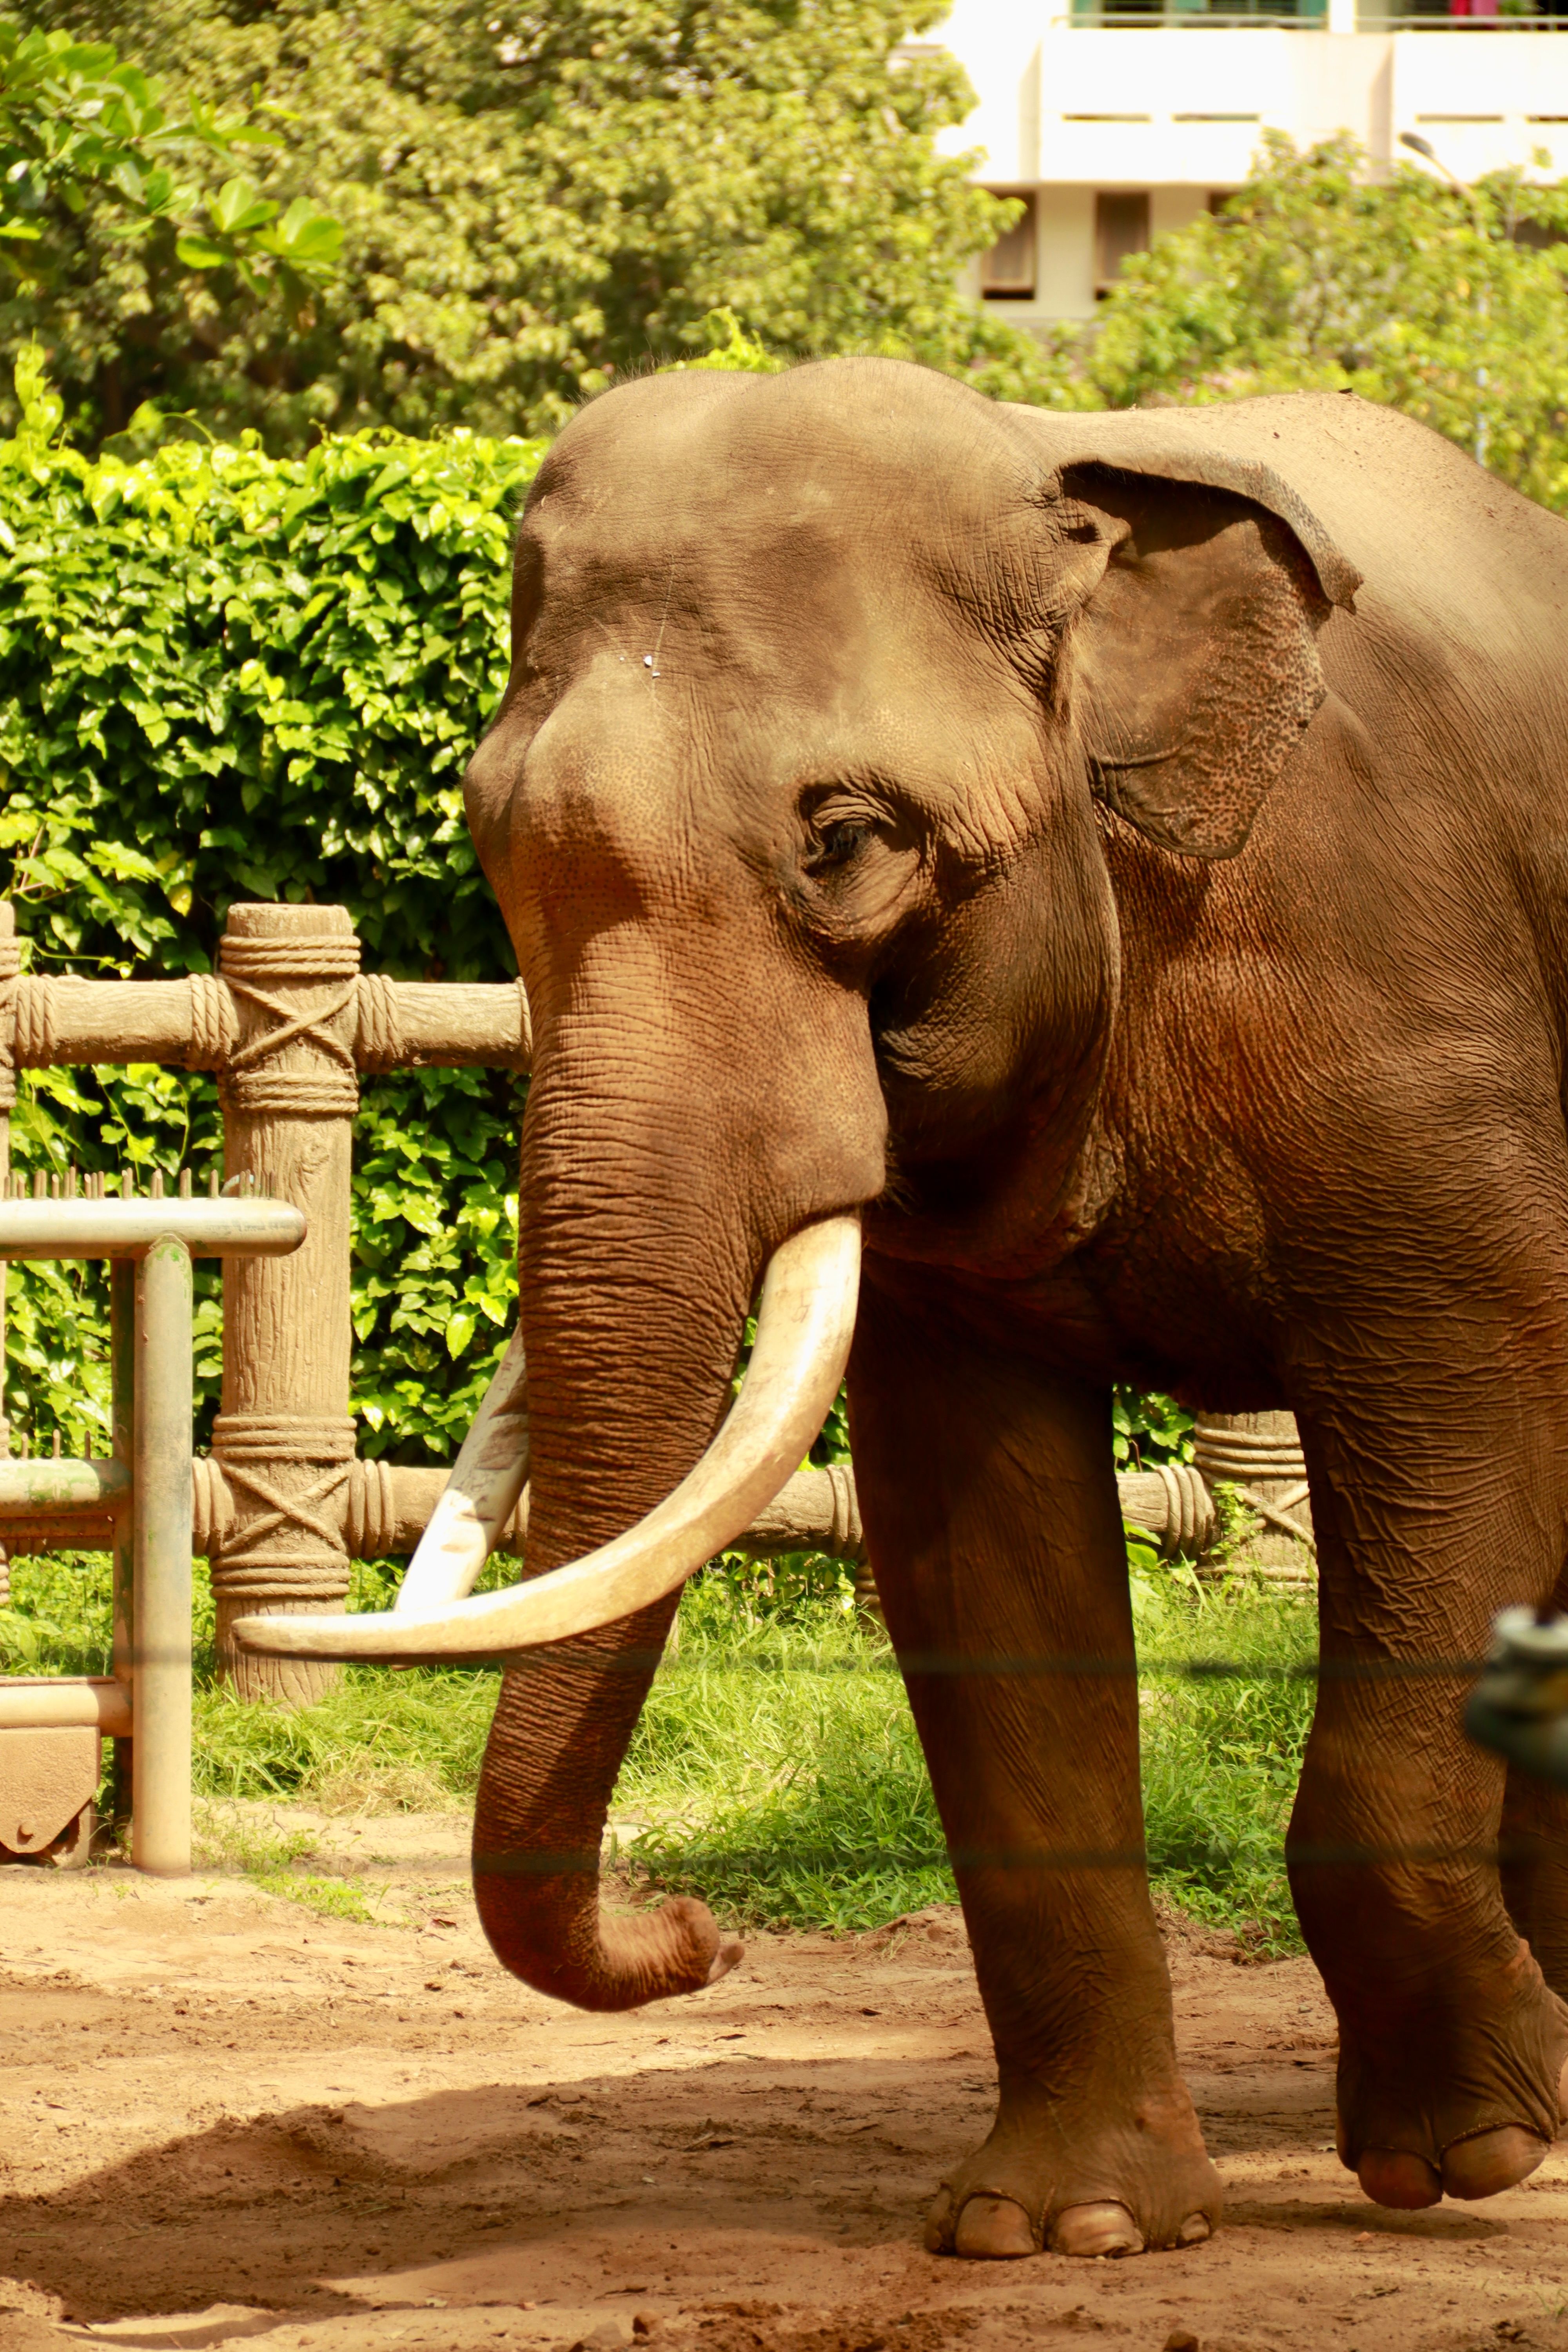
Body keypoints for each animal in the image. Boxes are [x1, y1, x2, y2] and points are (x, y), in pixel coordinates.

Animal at [238, 357, 1568, 2260]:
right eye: (492, 843)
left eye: (849, 842)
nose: (695, 1932)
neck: (1058, 478)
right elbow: (977, 1536)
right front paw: (1060, 2230)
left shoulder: (1405, 991)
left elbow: (1466, 1412)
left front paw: (1466, 2153)